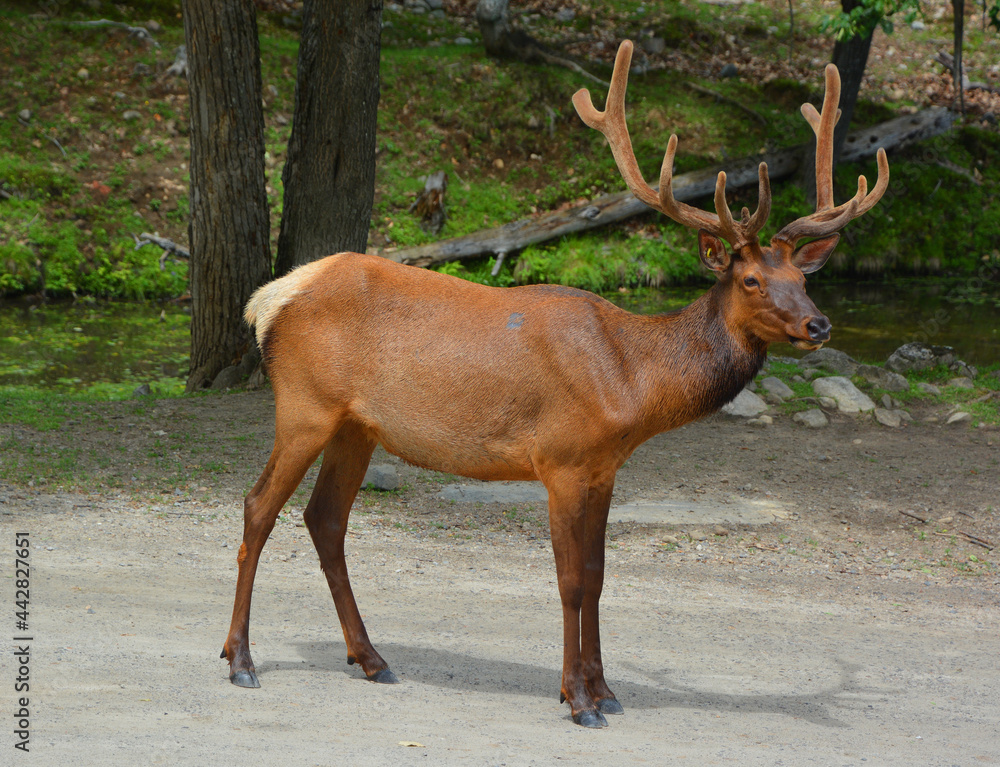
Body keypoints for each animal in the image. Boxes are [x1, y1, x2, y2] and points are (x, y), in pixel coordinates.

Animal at [221, 40, 888, 728]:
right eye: (752, 280)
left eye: (804, 279)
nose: (818, 323)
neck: (631, 381)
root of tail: (267, 298)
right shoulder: (561, 459)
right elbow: (569, 580)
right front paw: (577, 699)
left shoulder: (603, 468)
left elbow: (597, 575)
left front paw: (606, 689)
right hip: (305, 405)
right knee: (257, 507)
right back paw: (241, 660)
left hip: (357, 425)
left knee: (325, 520)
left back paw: (372, 658)